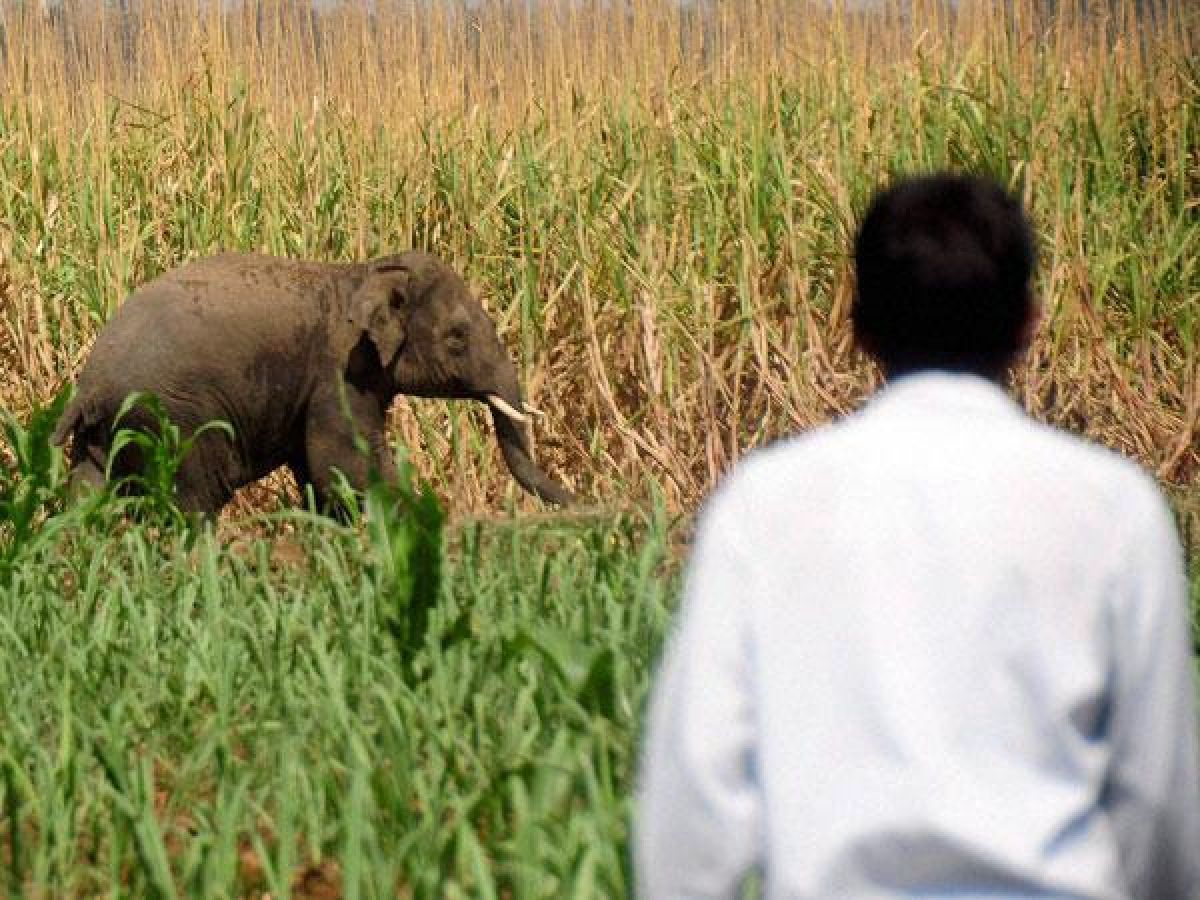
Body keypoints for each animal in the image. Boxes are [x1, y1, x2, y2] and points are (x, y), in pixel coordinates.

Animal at [51, 250, 576, 514]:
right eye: (457, 336)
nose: (583, 505)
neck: (363, 272)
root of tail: (90, 384)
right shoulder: (337, 372)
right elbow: (342, 464)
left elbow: (318, 470)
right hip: (172, 418)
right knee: (195, 500)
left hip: (106, 432)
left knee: (86, 496)